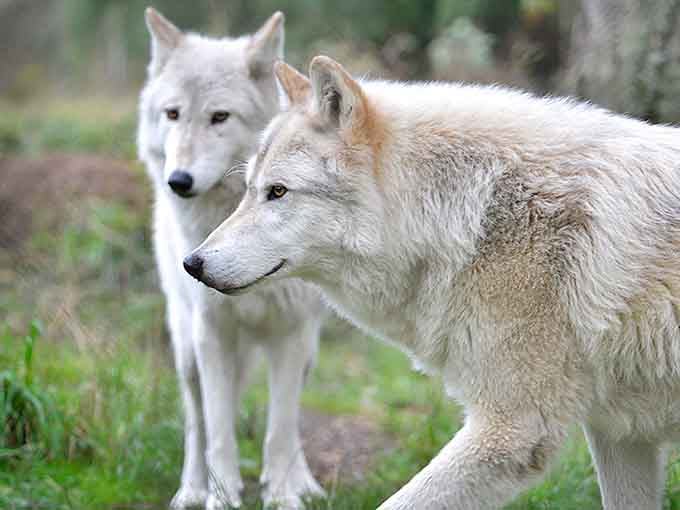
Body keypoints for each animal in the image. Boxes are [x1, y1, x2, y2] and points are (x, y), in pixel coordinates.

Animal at [137, 10, 325, 509]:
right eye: (172, 113)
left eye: (219, 117)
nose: (178, 181)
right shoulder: (212, 332)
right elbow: (218, 431)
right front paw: (220, 498)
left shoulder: (291, 332)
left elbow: (280, 429)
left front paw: (283, 496)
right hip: (186, 347)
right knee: (196, 422)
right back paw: (190, 489)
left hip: (308, 350)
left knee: (292, 422)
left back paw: (304, 482)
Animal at [185, 55, 680, 509]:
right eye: (250, 189)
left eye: (279, 192)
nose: (192, 263)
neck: (472, 217)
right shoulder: (619, 433)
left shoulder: (512, 429)